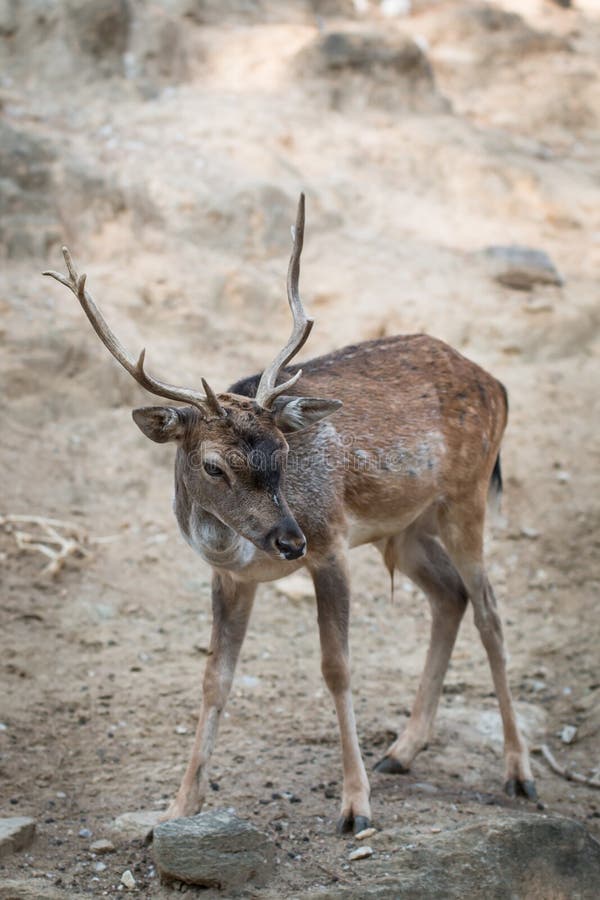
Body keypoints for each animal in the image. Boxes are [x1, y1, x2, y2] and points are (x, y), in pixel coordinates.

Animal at [43, 194, 537, 835]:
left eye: (282, 449)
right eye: (213, 466)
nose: (288, 541)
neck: (237, 547)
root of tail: (497, 382)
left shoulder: (331, 541)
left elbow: (336, 666)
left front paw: (355, 806)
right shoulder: (229, 577)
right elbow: (214, 679)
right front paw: (178, 806)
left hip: (467, 494)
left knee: (491, 613)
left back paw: (519, 772)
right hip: (405, 528)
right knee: (449, 596)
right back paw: (402, 750)